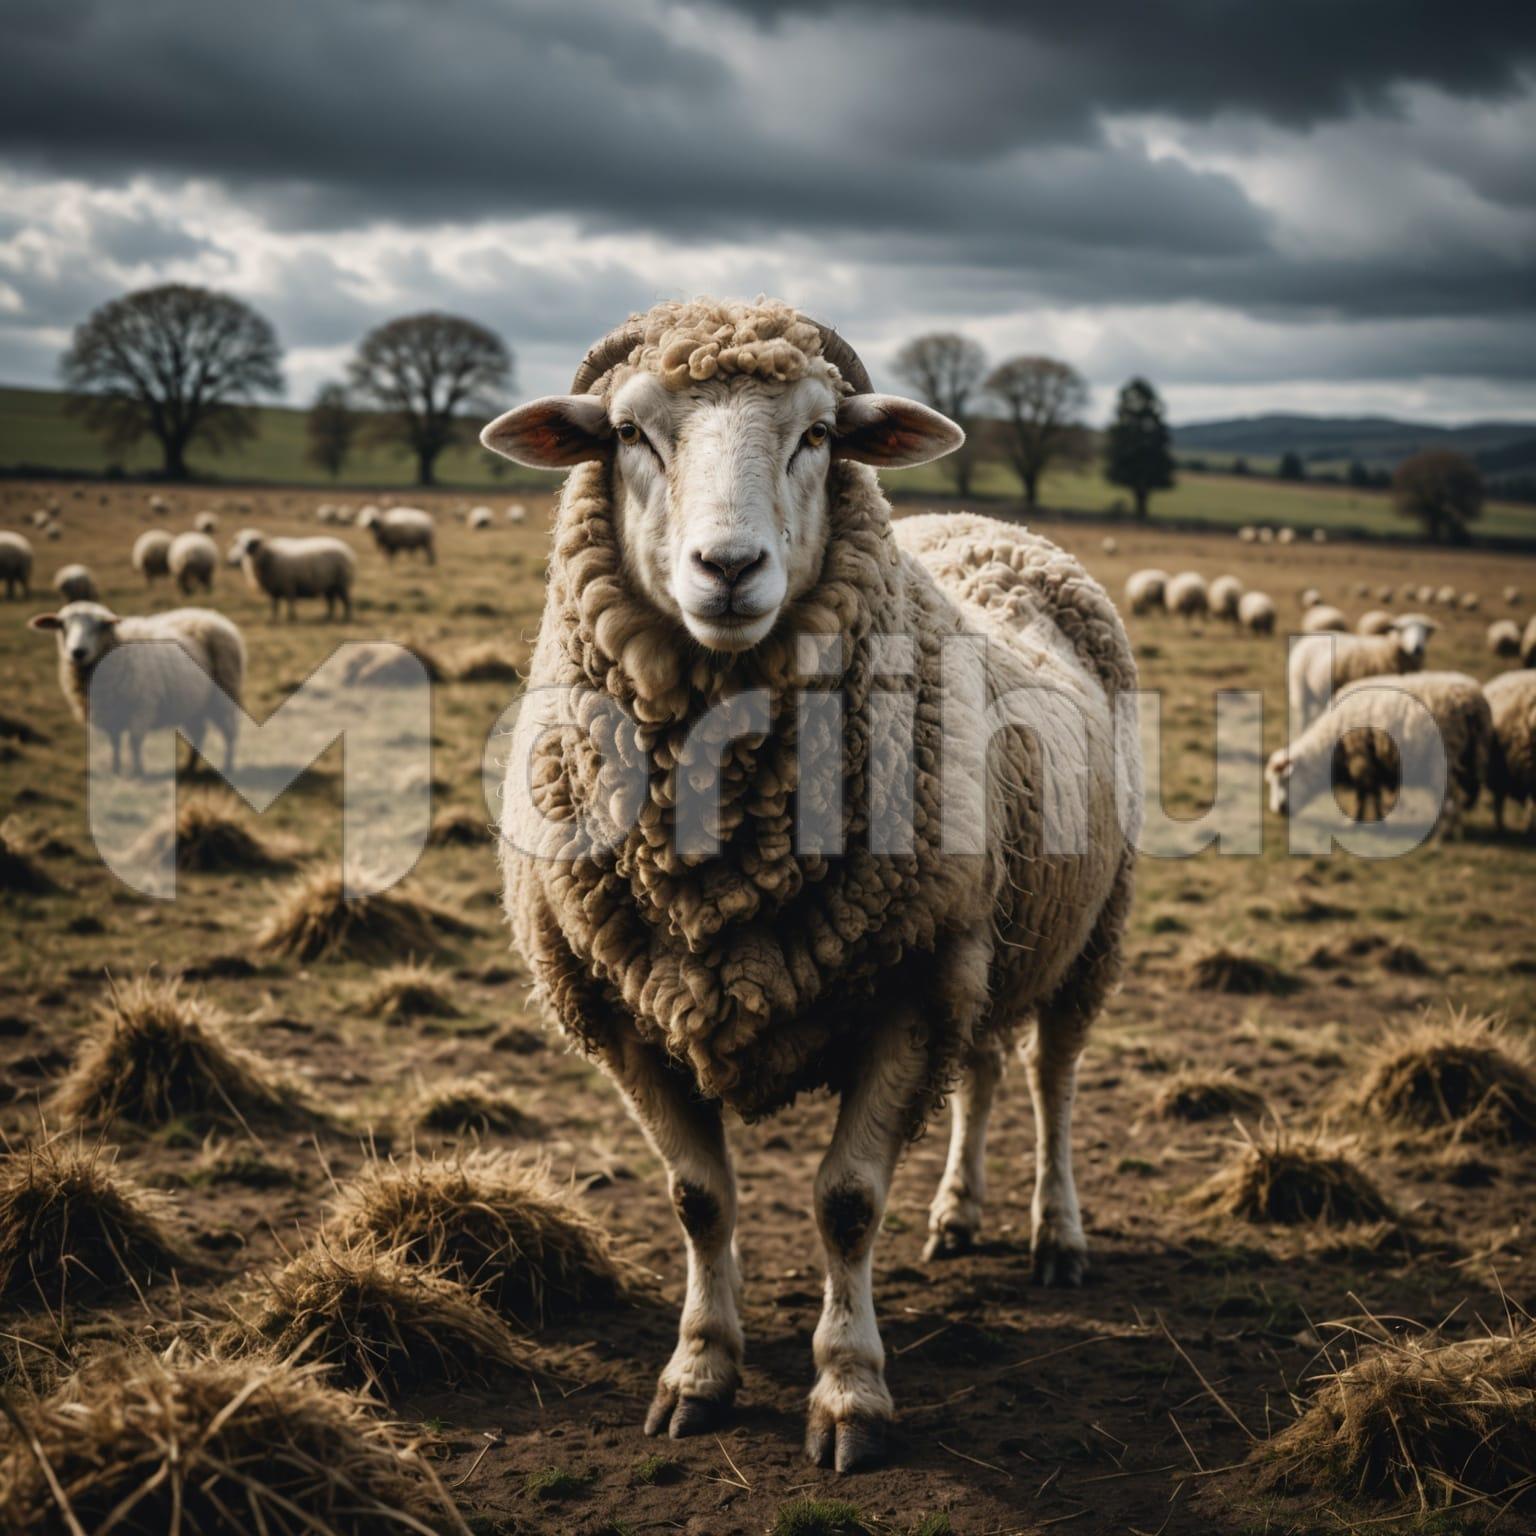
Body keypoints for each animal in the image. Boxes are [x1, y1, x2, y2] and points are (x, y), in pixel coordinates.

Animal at [28, 601, 245, 775]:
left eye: (100, 626)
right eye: (61, 625)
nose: (78, 652)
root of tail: (213, 615)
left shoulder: (142, 707)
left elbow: (134, 742)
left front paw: (137, 772)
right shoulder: (109, 713)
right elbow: (114, 742)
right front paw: (115, 769)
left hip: (223, 693)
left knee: (230, 733)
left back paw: (228, 766)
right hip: (192, 701)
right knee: (200, 732)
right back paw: (189, 768)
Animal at [481, 297, 1142, 1468]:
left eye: (819, 435)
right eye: (629, 433)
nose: (729, 567)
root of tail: (986, 522)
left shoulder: (908, 992)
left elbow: (845, 1203)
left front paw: (849, 1393)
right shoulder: (620, 1005)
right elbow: (697, 1198)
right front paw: (698, 1374)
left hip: (1085, 931)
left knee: (1051, 1079)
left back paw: (1055, 1233)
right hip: (986, 931)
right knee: (982, 1070)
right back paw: (957, 1215)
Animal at [1266, 671, 1489, 839]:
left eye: (1284, 779)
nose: (1278, 810)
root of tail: (1473, 700)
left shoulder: (1361, 760)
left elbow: (1364, 794)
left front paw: (1353, 822)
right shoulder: (1372, 764)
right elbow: (1374, 794)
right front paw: (1377, 821)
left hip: (1443, 758)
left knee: (1449, 800)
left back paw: (1442, 835)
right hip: (1468, 757)